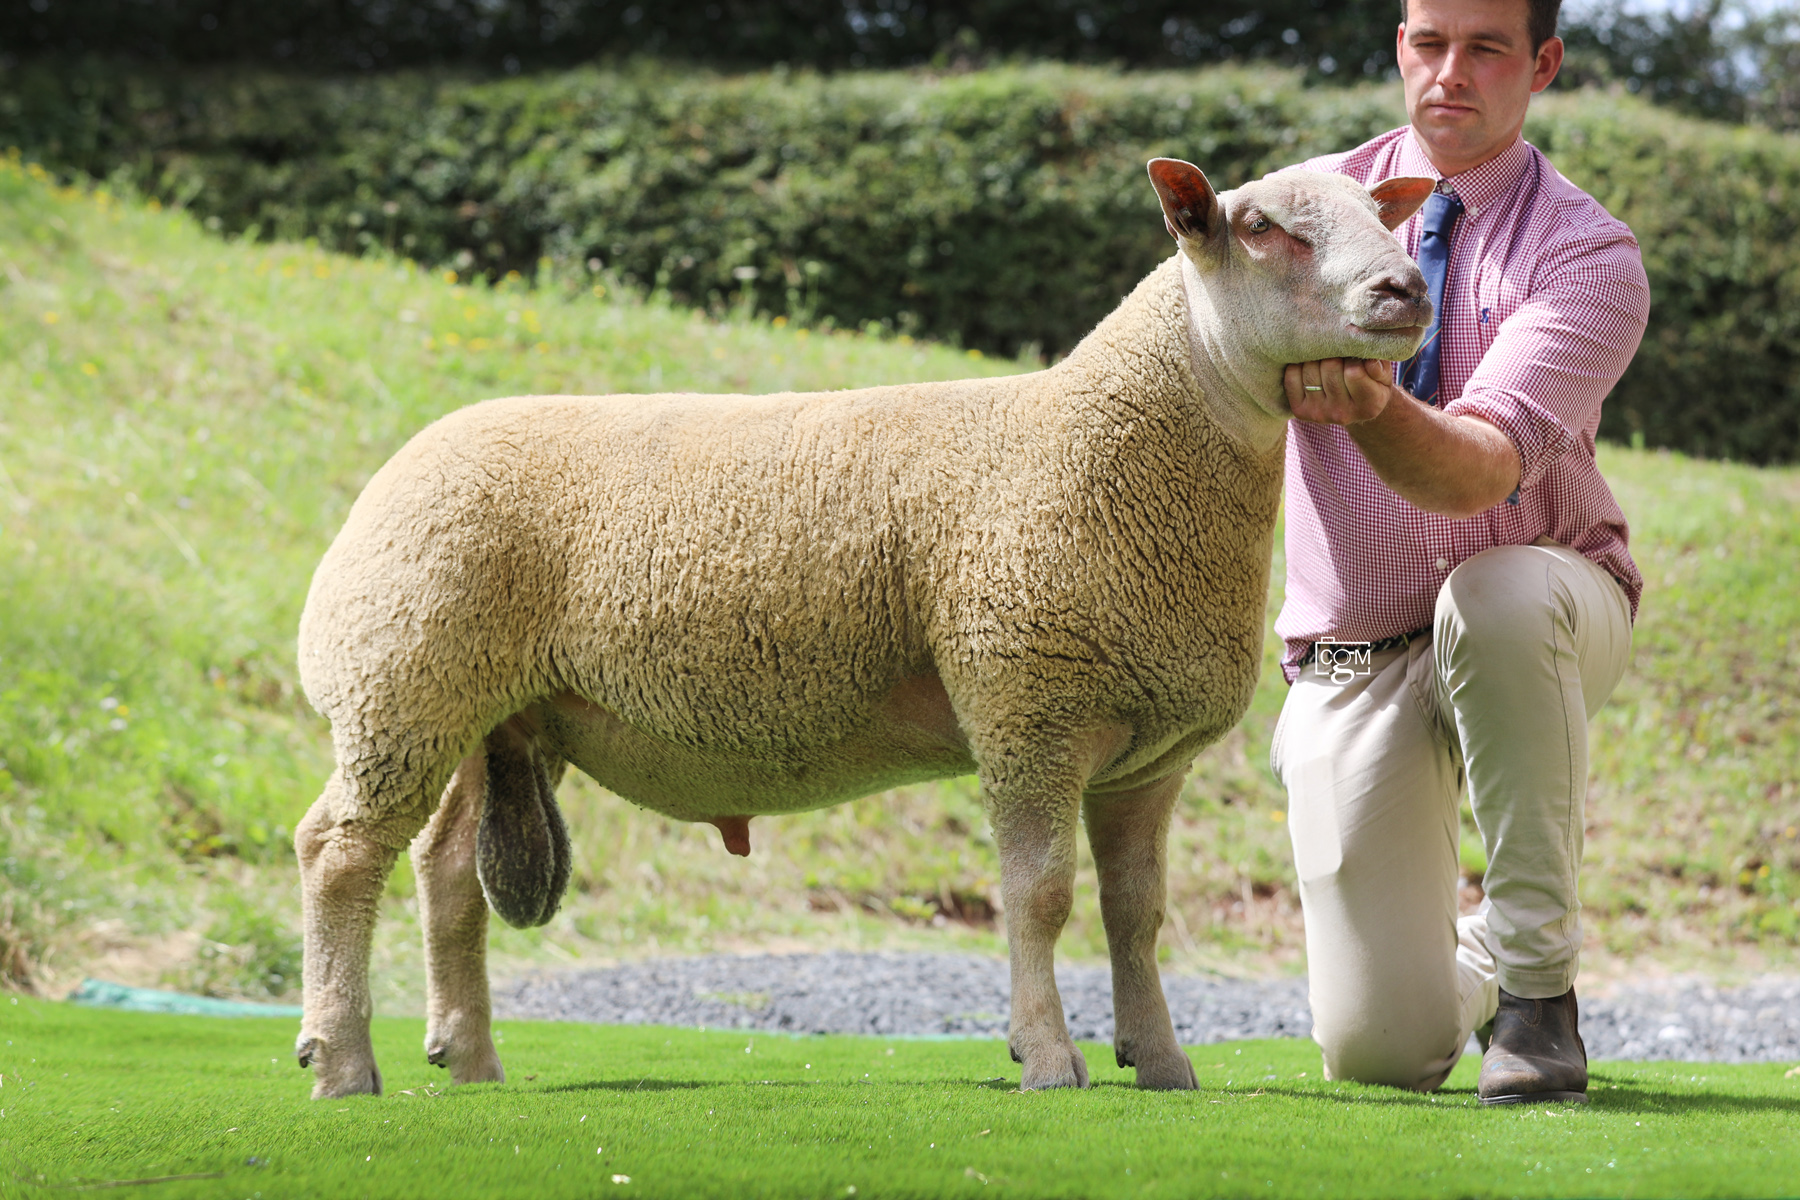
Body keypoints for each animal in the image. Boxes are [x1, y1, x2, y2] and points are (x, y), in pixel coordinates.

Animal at [292, 159, 1434, 1099]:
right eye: (1262, 226)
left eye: (1382, 214)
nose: (1405, 291)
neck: (1108, 441)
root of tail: (397, 467)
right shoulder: (1026, 702)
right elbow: (1041, 896)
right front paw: (1048, 1060)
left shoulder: (1146, 757)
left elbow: (1135, 912)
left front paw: (1159, 1064)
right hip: (402, 682)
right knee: (339, 852)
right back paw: (342, 1061)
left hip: (493, 704)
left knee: (442, 870)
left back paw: (469, 1060)